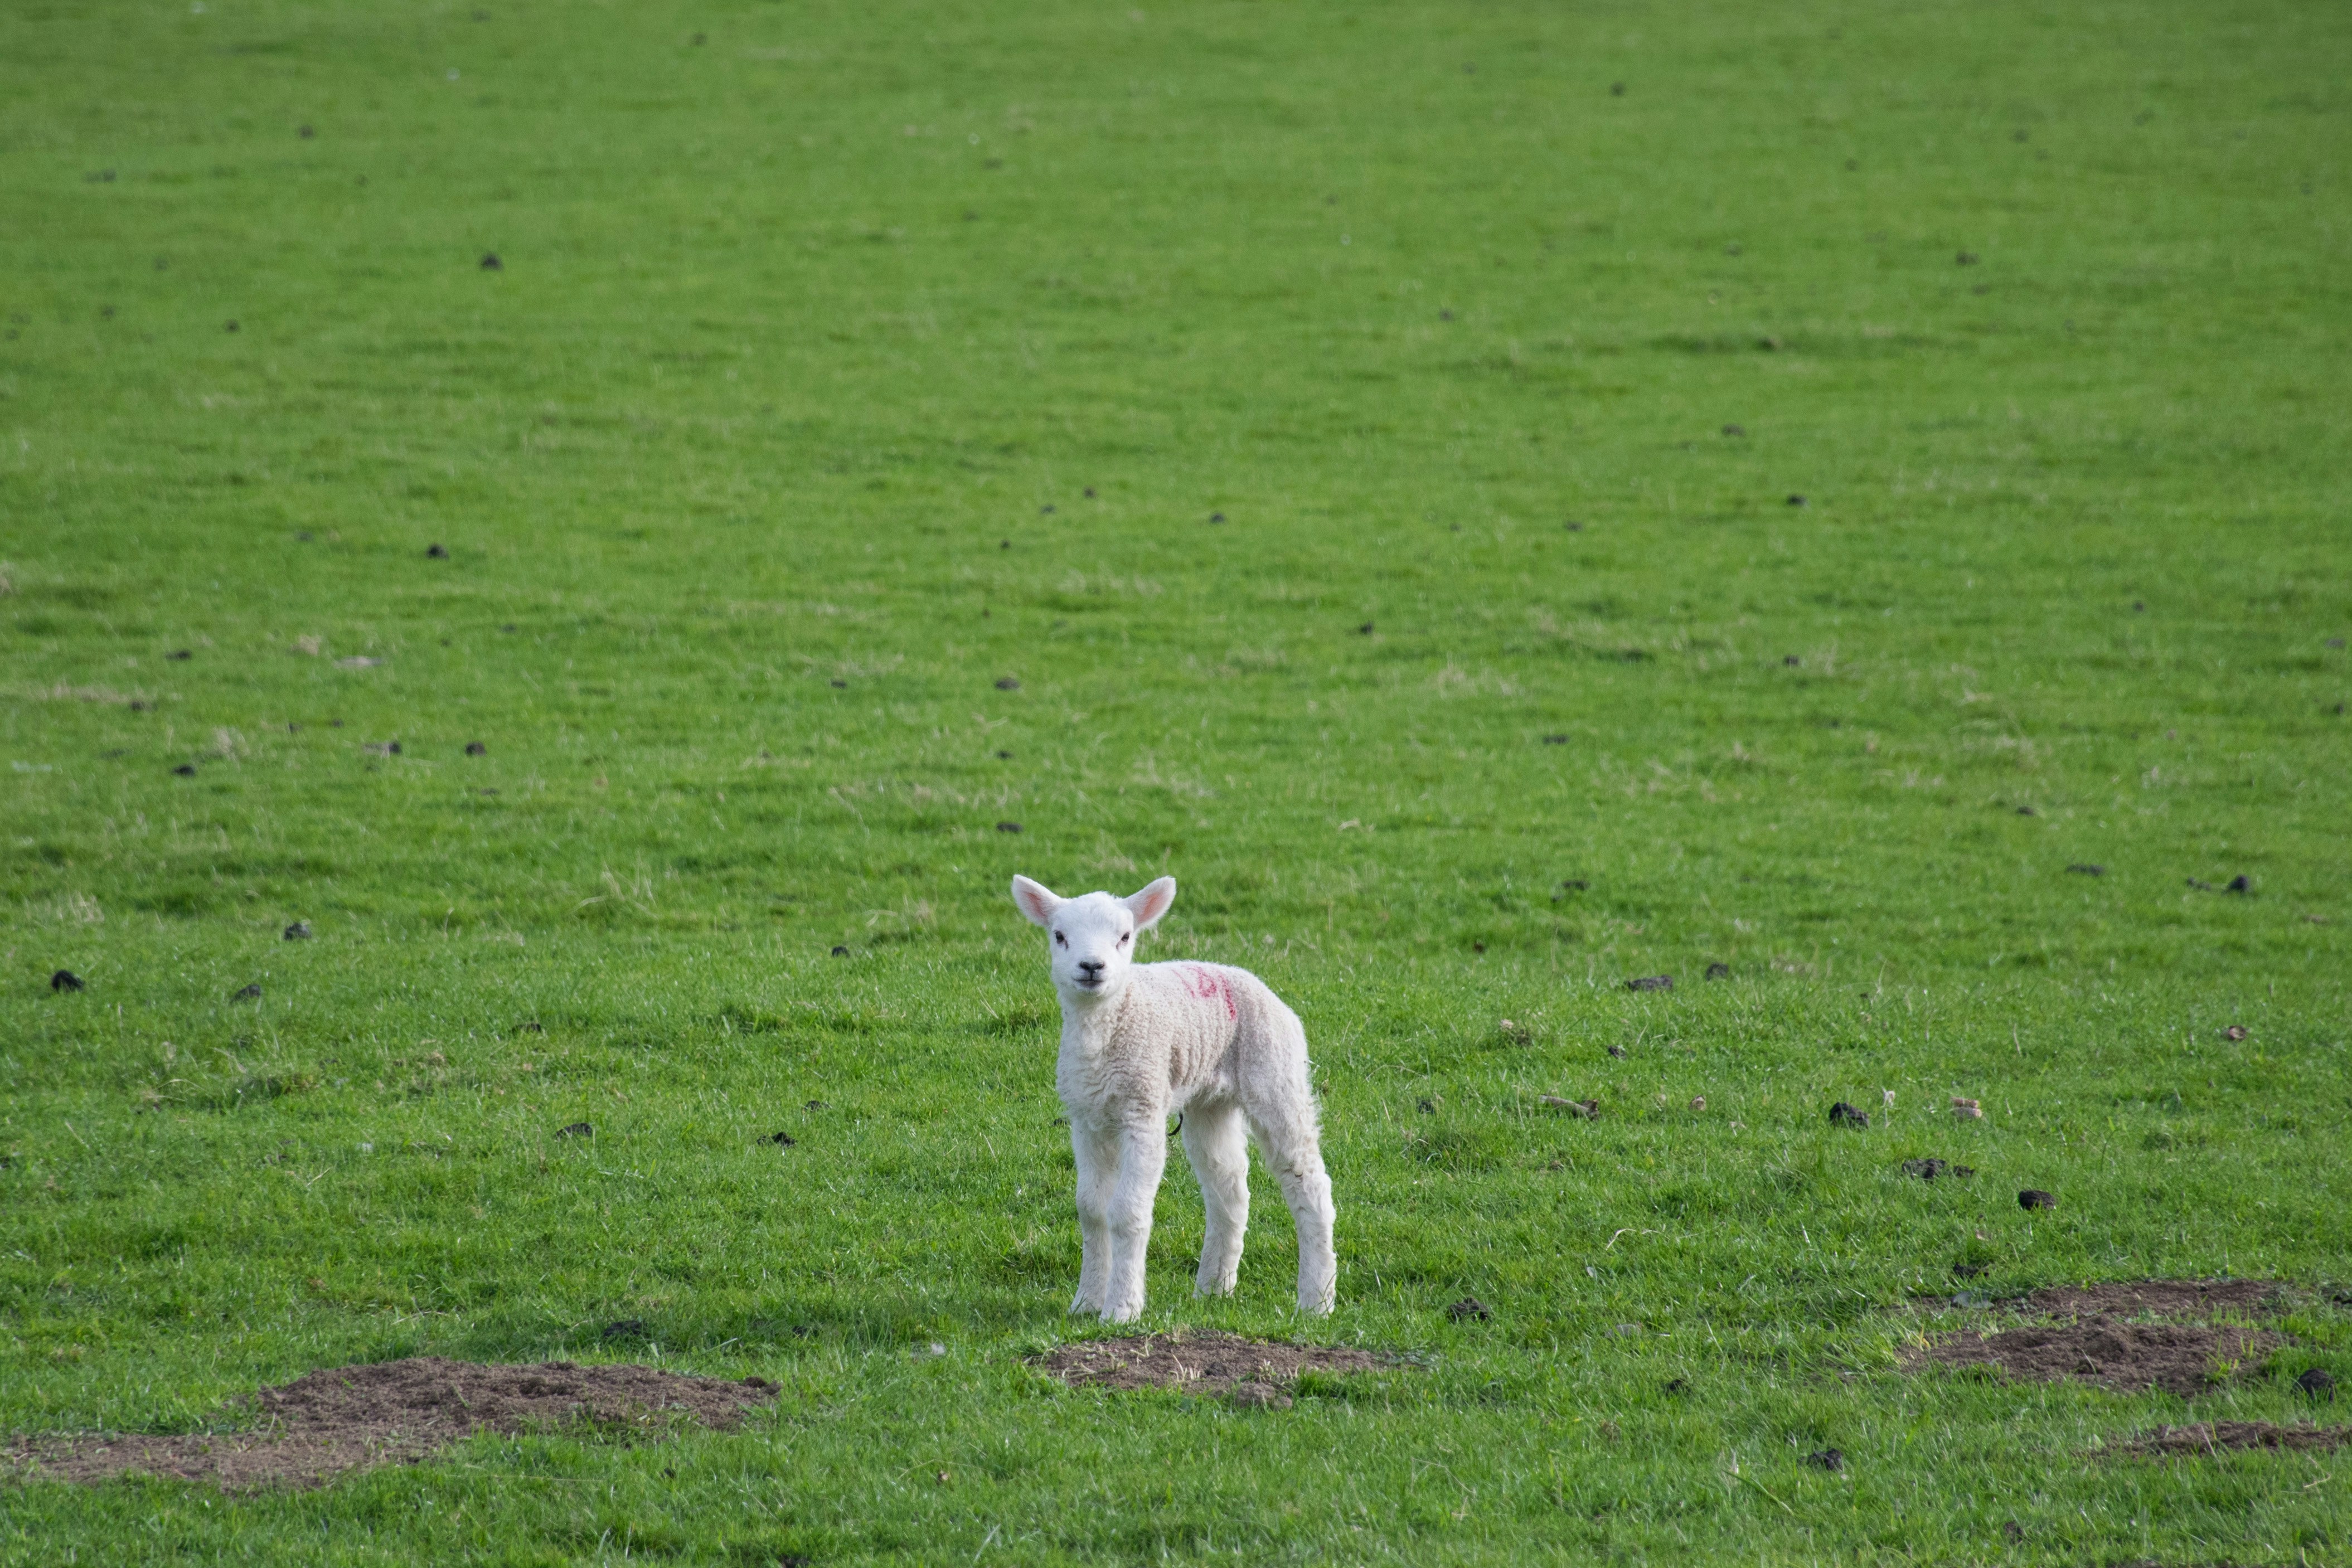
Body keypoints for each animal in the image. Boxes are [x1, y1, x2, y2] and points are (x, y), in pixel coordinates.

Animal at [1011, 874, 1336, 1322]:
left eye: (1125, 937)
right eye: (1059, 936)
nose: (1092, 966)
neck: (1106, 1031)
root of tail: (1255, 982)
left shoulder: (1142, 1111)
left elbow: (1127, 1212)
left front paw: (1121, 1309)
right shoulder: (1086, 1118)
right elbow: (1091, 1209)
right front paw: (1085, 1302)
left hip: (1275, 1071)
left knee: (1308, 1182)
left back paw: (1316, 1302)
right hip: (1210, 1103)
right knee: (1229, 1191)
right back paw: (1215, 1288)